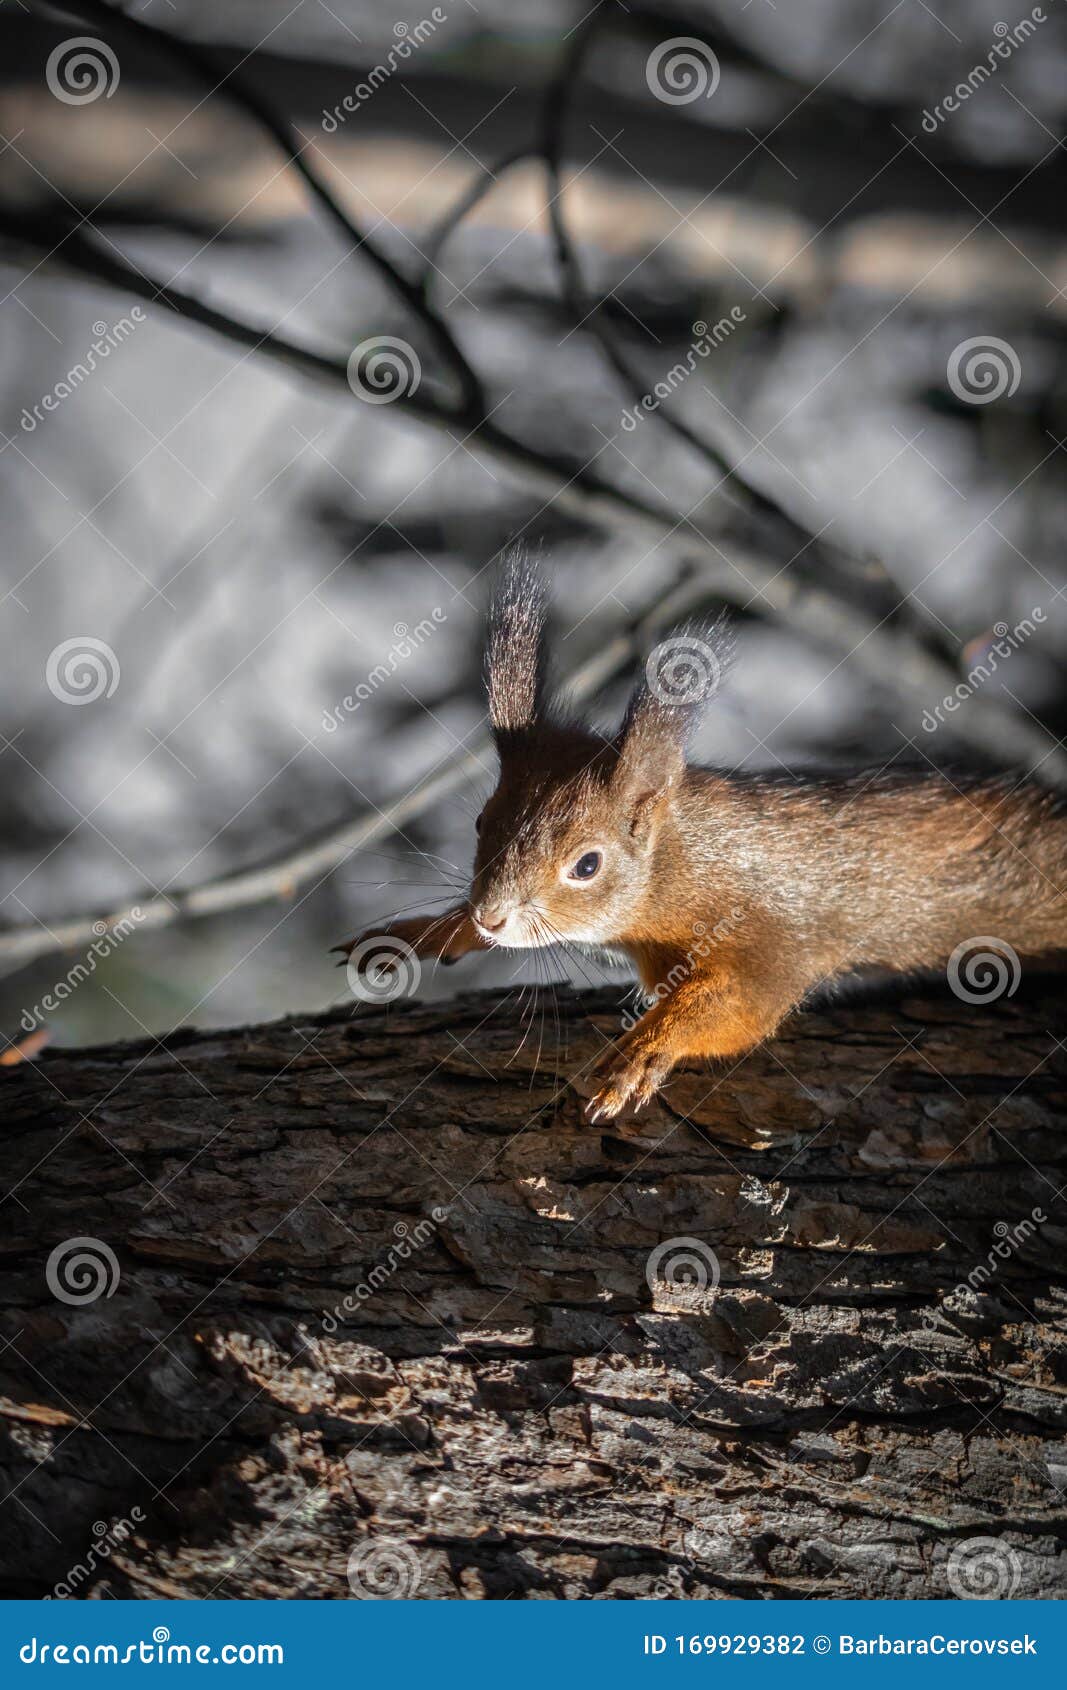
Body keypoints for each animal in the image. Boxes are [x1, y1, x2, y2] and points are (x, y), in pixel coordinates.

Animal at [336, 554, 1067, 1122]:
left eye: (587, 865)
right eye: (481, 823)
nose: (491, 916)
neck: (678, 866)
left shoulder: (770, 932)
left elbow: (740, 1005)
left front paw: (639, 1053)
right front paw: (429, 930)